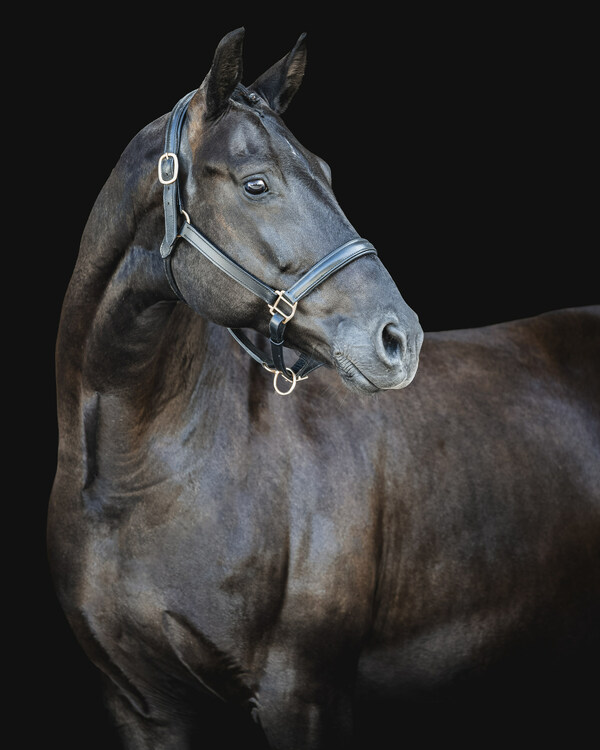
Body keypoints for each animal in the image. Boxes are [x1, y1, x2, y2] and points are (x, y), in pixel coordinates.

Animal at [48, 27, 600, 749]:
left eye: (329, 173)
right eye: (256, 184)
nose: (398, 338)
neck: (143, 476)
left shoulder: (303, 695)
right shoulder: (142, 705)